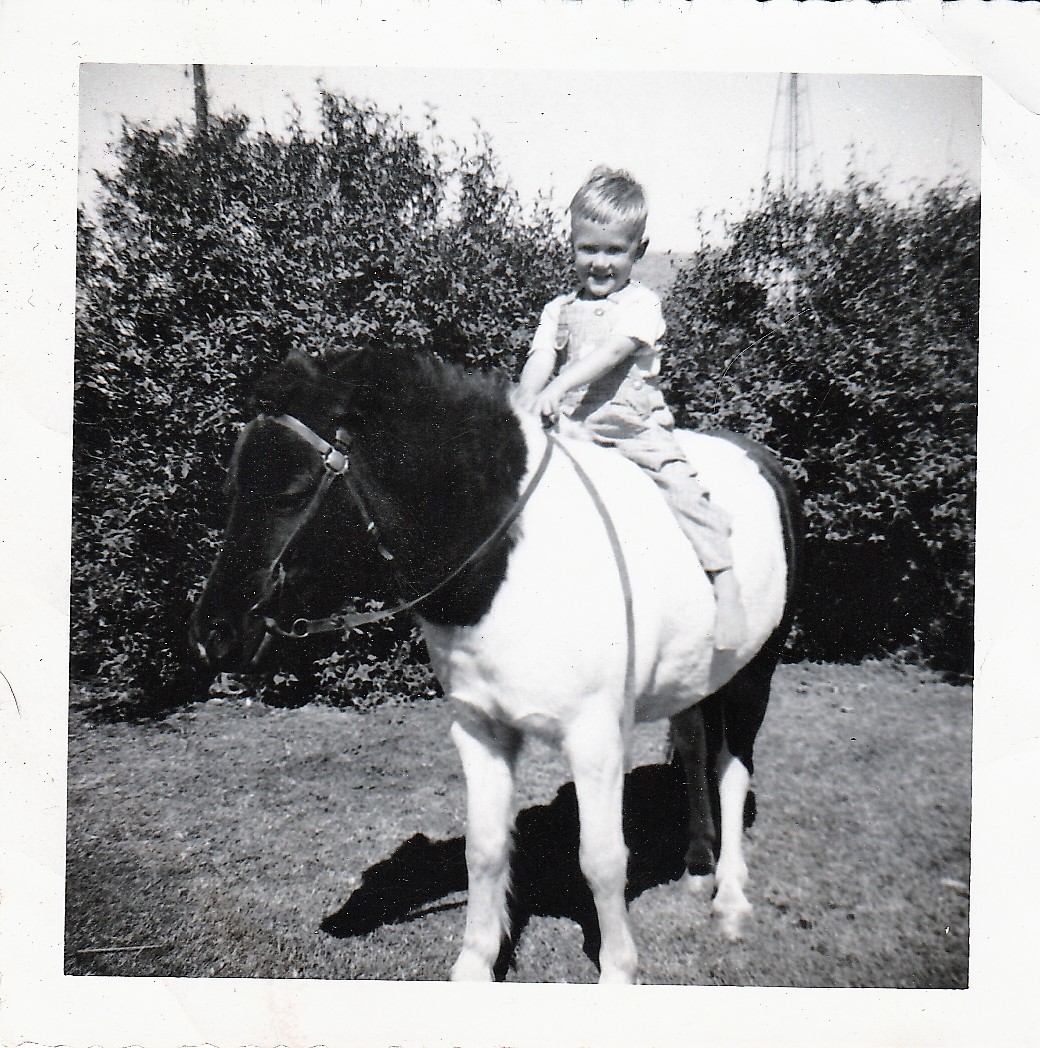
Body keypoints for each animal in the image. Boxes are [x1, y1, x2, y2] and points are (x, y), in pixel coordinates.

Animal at [190, 345, 803, 984]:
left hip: (757, 672)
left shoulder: (597, 738)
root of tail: (766, 463)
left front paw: (617, 969)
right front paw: (475, 964)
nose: (213, 634)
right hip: (697, 678)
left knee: (732, 768)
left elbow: (603, 860)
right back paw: (699, 862)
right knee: (693, 746)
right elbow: (483, 851)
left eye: (289, 492)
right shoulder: (480, 728)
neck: (514, 562)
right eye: (234, 486)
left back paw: (730, 895)